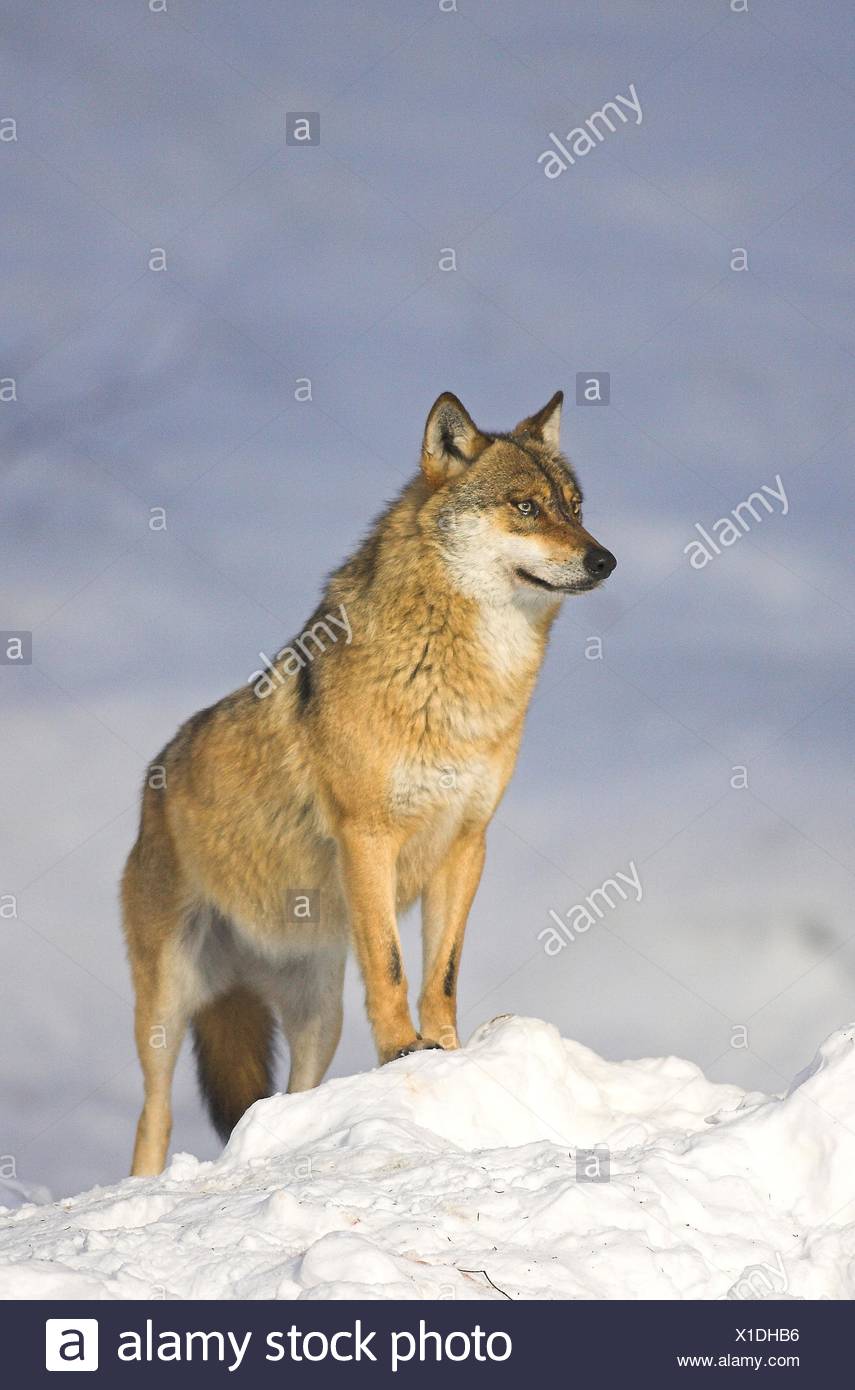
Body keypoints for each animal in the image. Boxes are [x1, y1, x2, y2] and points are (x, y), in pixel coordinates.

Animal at [122, 390, 616, 1175]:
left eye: (574, 505)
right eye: (526, 507)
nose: (605, 559)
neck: (462, 685)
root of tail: (152, 782)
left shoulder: (466, 842)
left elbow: (442, 970)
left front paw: (445, 1049)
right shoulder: (368, 835)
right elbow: (390, 966)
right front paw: (402, 1050)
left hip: (315, 1013)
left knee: (291, 1092)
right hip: (168, 1005)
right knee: (154, 1115)